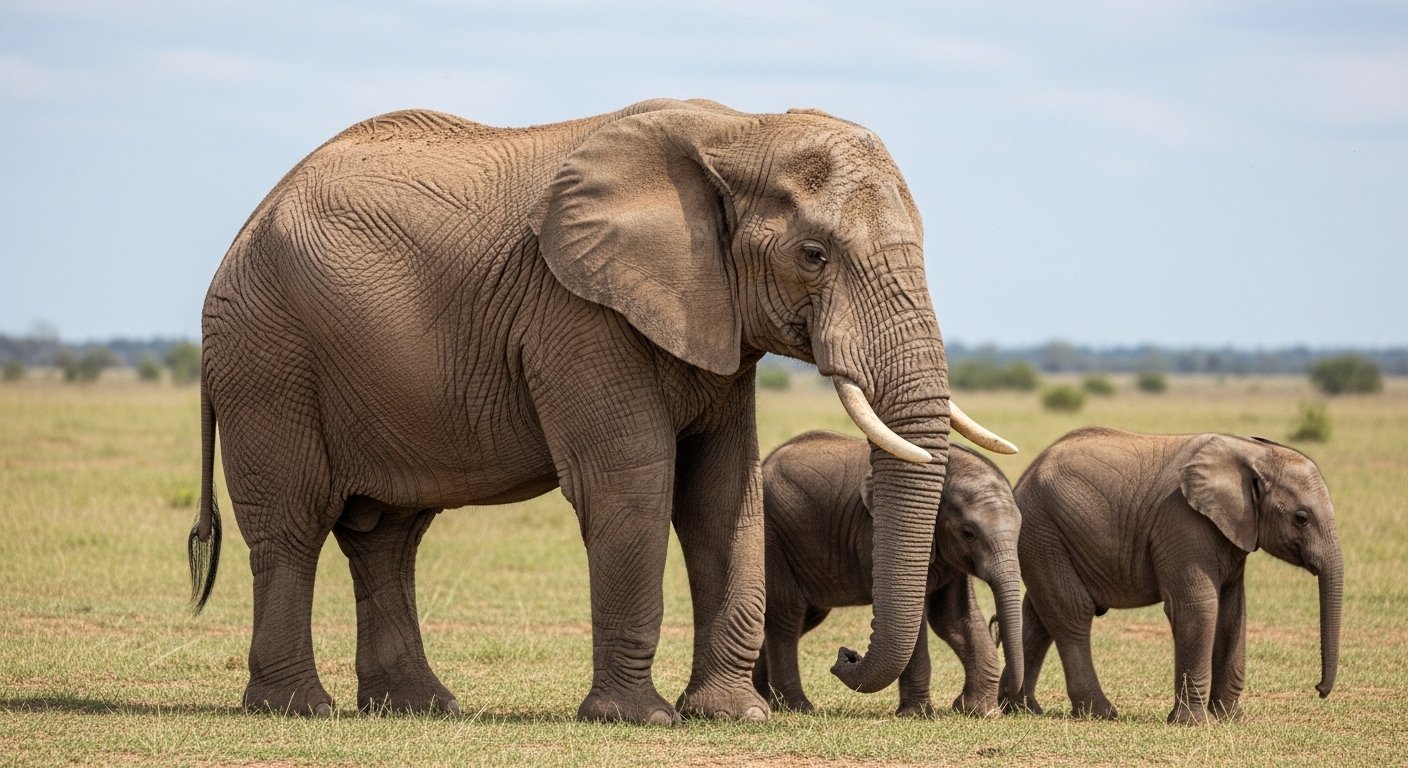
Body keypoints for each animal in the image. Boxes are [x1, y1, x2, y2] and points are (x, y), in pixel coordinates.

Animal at [754, 430, 1024, 717]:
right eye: (969, 533)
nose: (848, 655)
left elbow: (953, 618)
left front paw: (980, 711)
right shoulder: (871, 532)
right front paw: (918, 715)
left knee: (804, 616)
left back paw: (766, 699)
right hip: (772, 538)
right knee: (788, 616)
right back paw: (797, 707)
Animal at [1000, 426, 1341, 724]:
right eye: (1301, 518)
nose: (1319, 690)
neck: (1252, 452)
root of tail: (1026, 474)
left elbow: (1233, 613)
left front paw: (1231, 719)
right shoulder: (1181, 519)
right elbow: (1197, 607)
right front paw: (1197, 724)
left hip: (1044, 537)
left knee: (1039, 616)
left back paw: (1021, 709)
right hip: (1042, 530)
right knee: (1072, 612)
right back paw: (1100, 713)